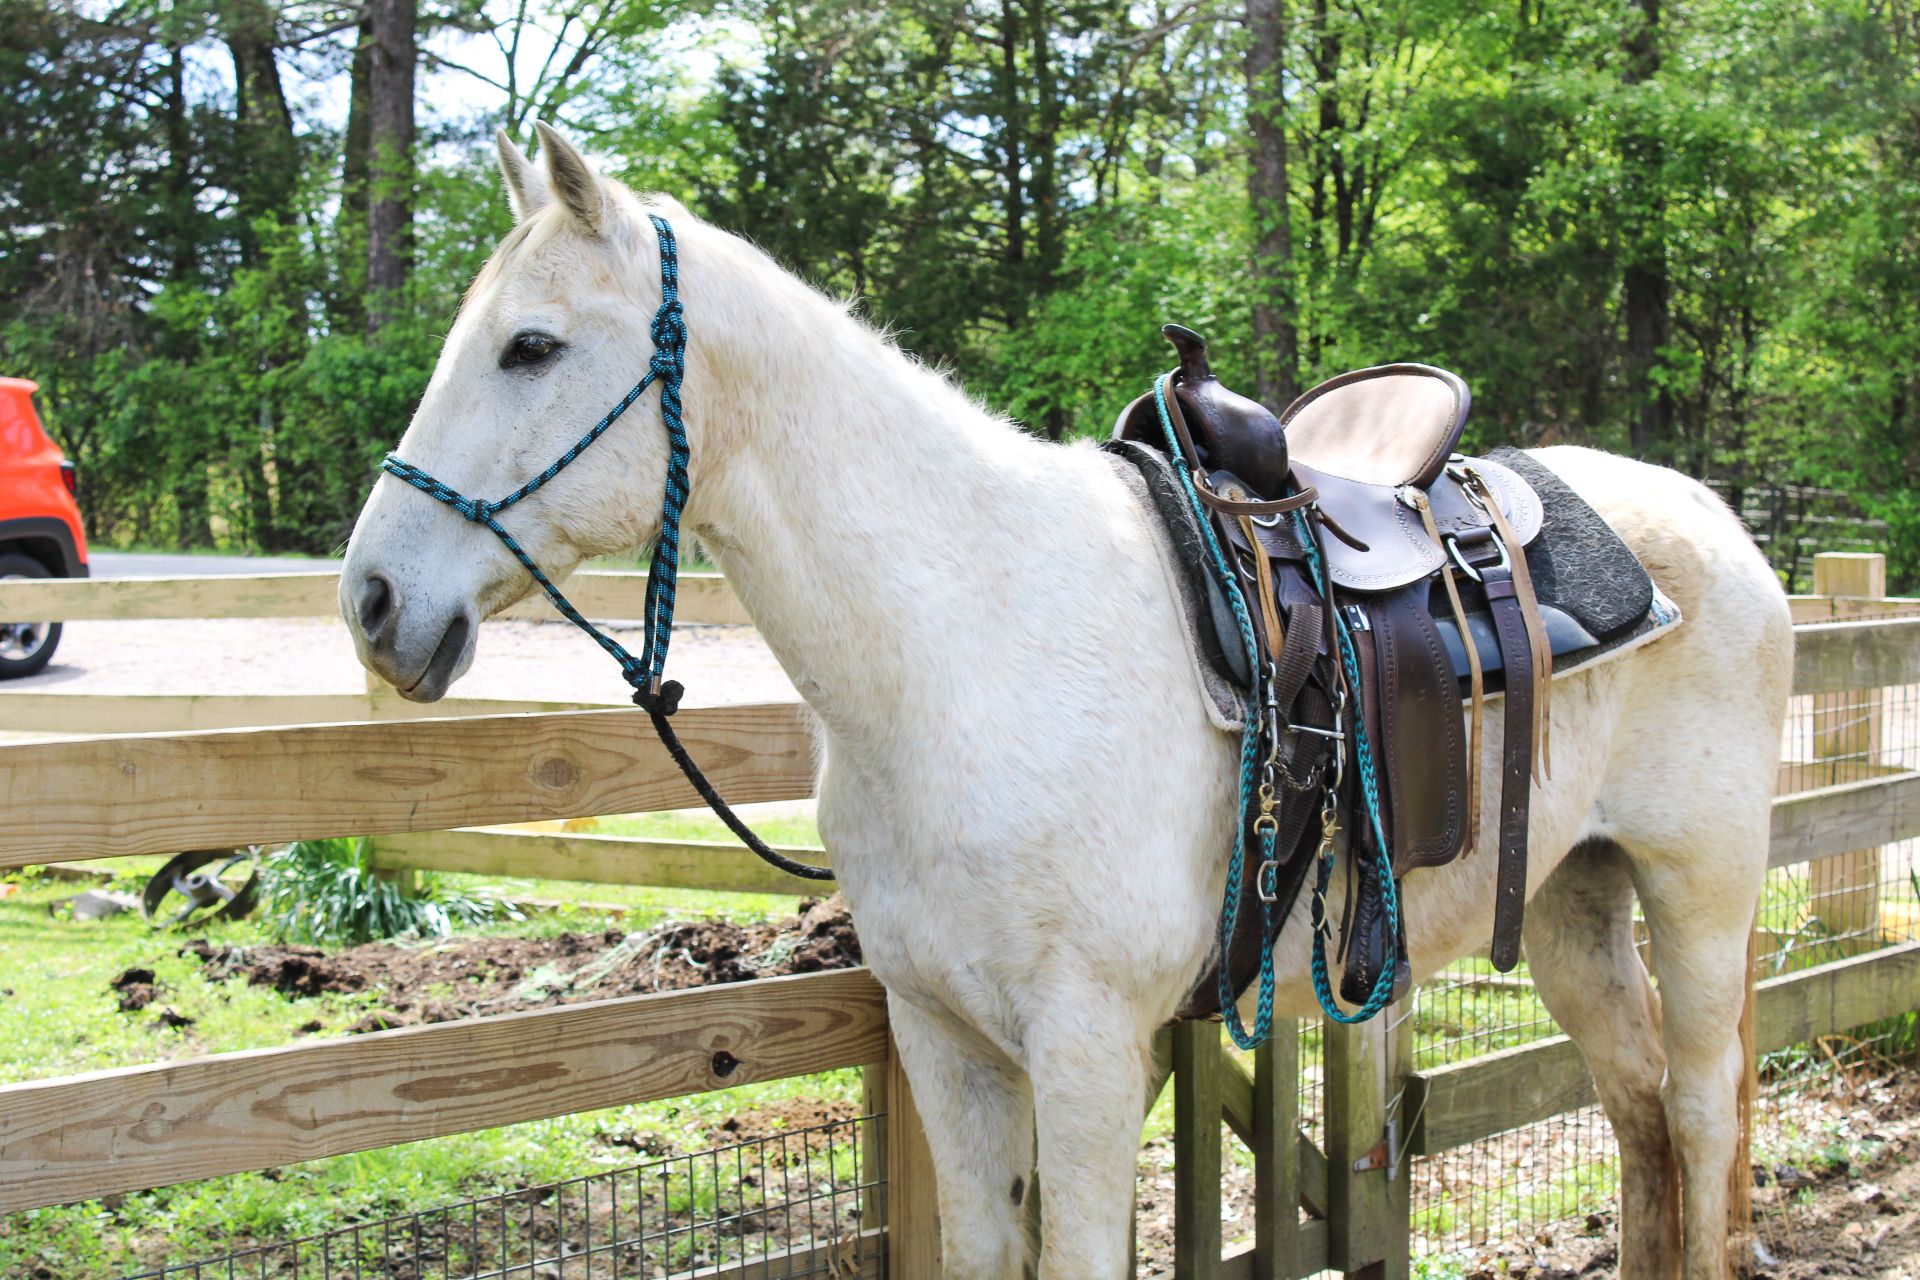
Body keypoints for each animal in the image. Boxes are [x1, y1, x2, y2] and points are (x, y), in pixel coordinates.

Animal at [338, 123, 1793, 1280]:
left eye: (531, 347)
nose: (372, 600)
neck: (964, 650)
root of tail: (1723, 525)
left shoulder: (1088, 1045)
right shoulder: (943, 1040)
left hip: (1700, 886)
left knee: (1704, 1106)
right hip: (1567, 897)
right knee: (1644, 1113)